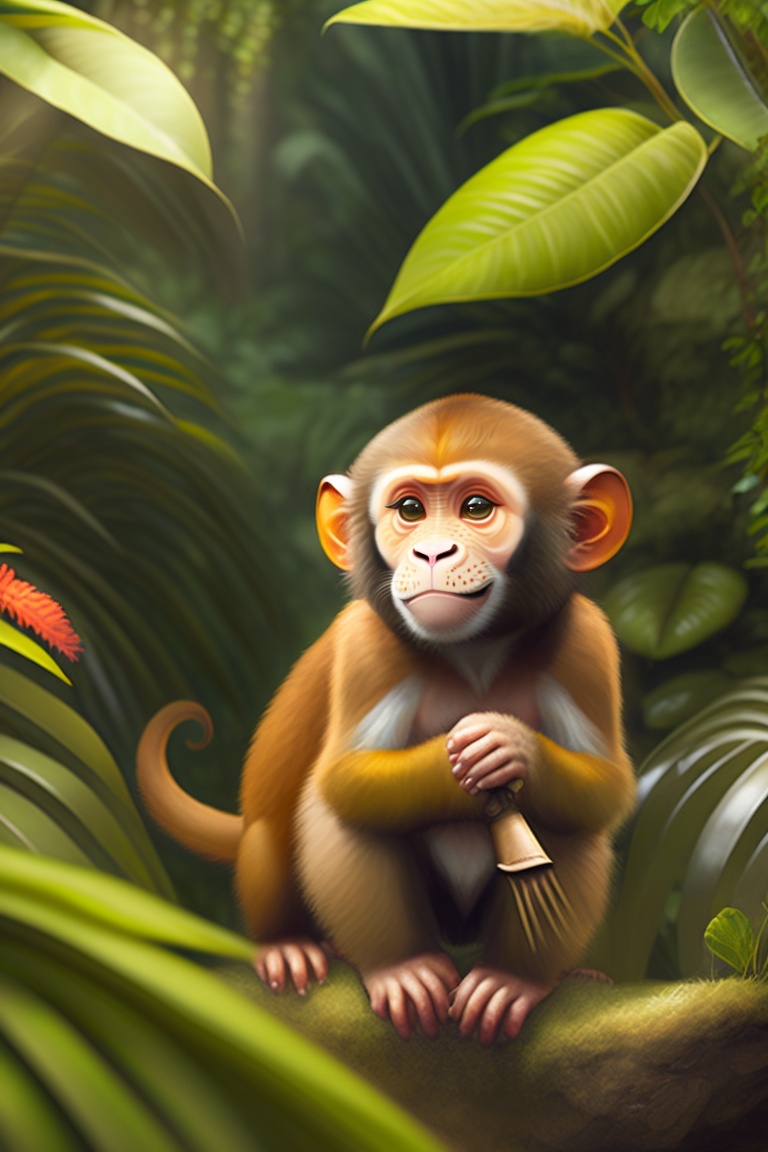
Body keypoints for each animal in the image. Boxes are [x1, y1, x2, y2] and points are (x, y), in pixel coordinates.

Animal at [137, 394, 635, 1046]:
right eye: (410, 510)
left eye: (477, 507)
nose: (432, 552)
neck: (474, 653)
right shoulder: (365, 642)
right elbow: (350, 782)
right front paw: (469, 757)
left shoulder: (586, 641)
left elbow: (606, 790)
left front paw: (507, 747)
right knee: (333, 811)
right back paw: (344, 955)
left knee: (566, 818)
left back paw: (516, 977)